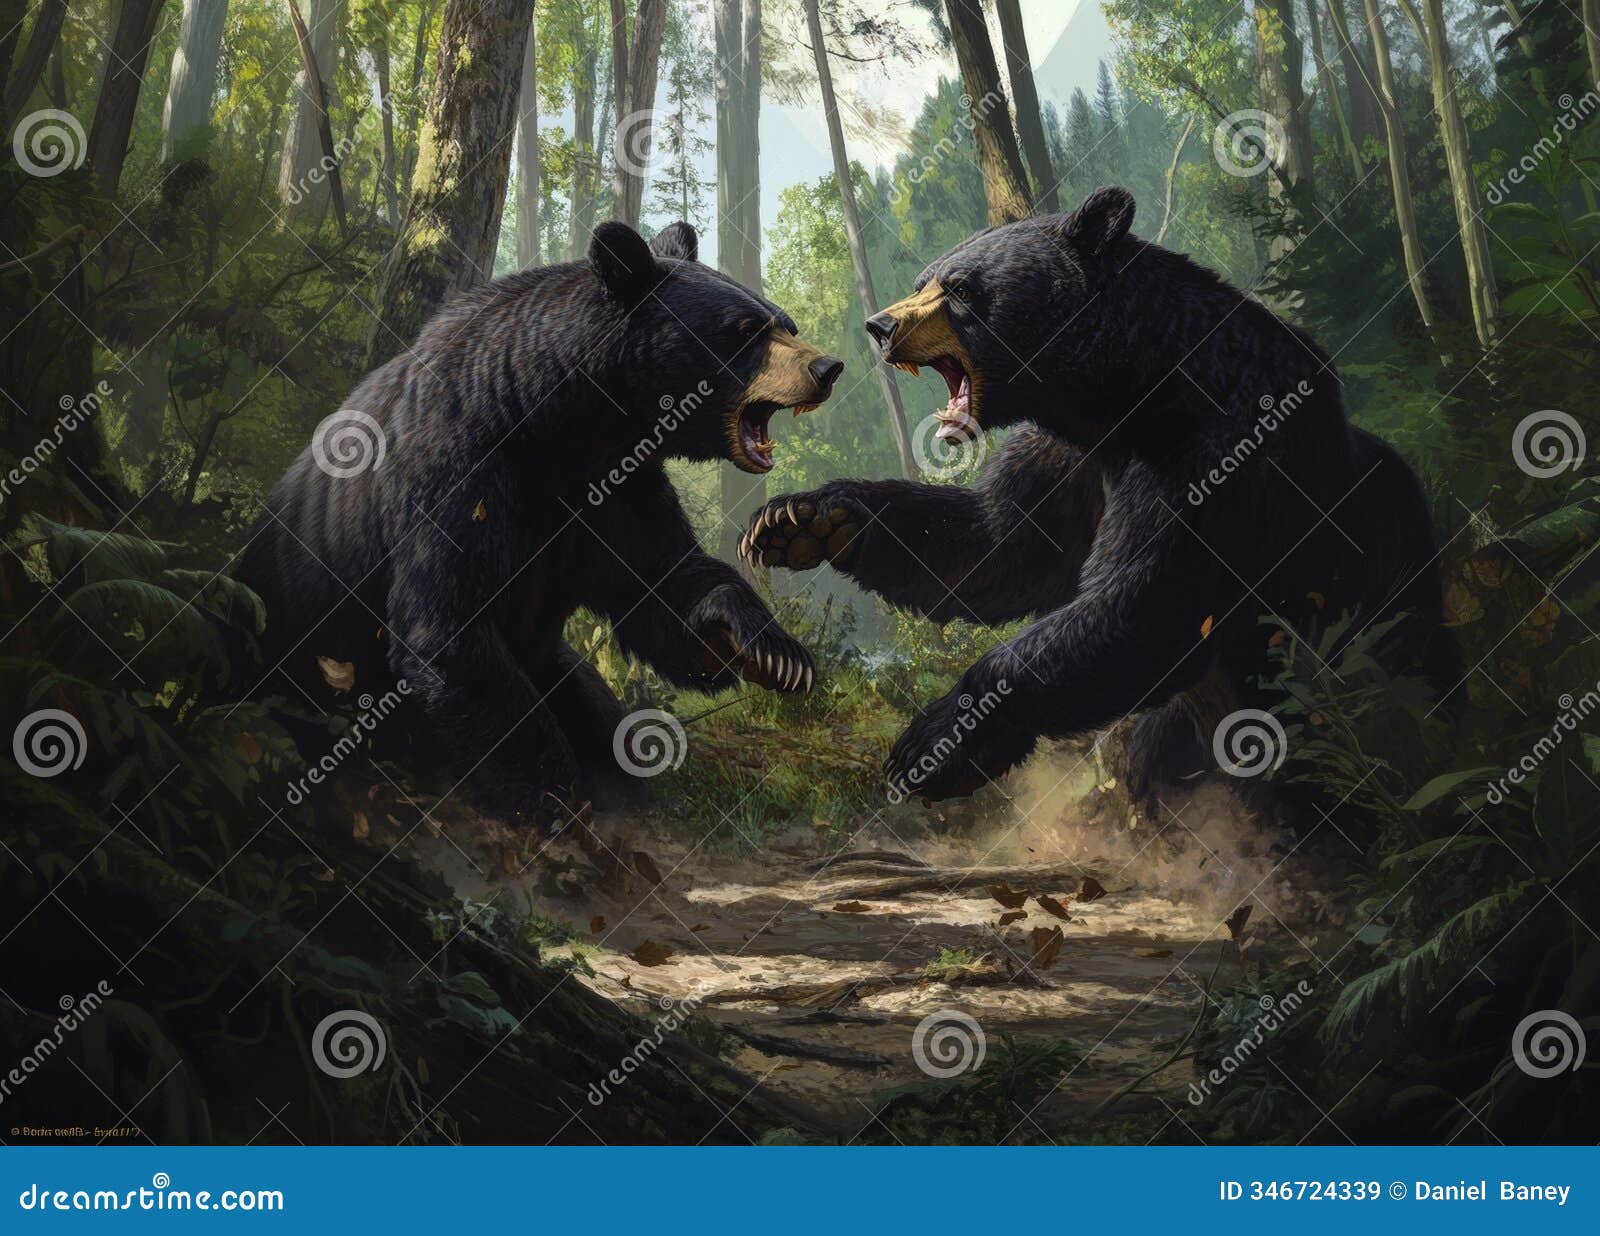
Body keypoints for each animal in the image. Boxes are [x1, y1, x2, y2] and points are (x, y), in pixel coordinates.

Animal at [240, 220, 842, 829]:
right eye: (744, 331)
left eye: (785, 322)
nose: (827, 369)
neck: (558, 421)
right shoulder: (460, 470)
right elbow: (450, 624)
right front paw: (556, 796)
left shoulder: (616, 487)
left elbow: (657, 579)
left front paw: (769, 650)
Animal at [740, 187, 1457, 810]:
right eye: (925, 278)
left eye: (963, 288)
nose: (880, 326)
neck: (1126, 390)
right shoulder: (1066, 455)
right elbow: (997, 548)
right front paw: (802, 519)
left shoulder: (1219, 440)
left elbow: (1147, 598)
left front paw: (938, 740)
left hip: (1375, 614)